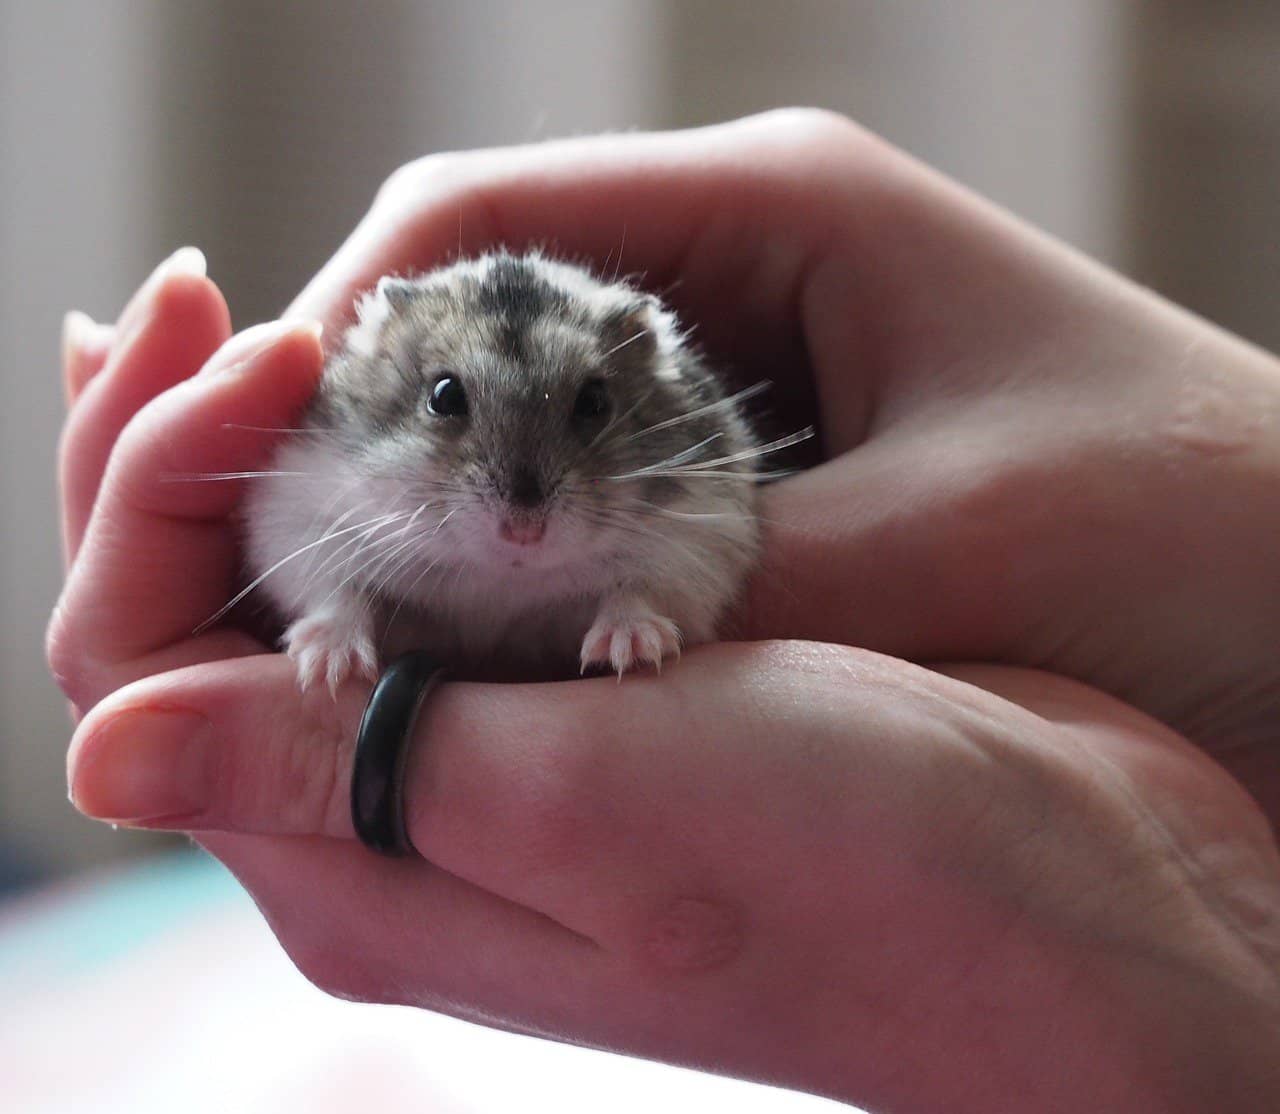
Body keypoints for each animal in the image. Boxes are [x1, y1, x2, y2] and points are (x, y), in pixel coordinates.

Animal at [241, 250, 782, 691]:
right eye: (443, 396)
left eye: (594, 402)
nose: (524, 531)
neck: (500, 579)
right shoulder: (298, 518)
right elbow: (338, 590)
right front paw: (330, 670)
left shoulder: (702, 540)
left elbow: (640, 589)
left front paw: (631, 652)